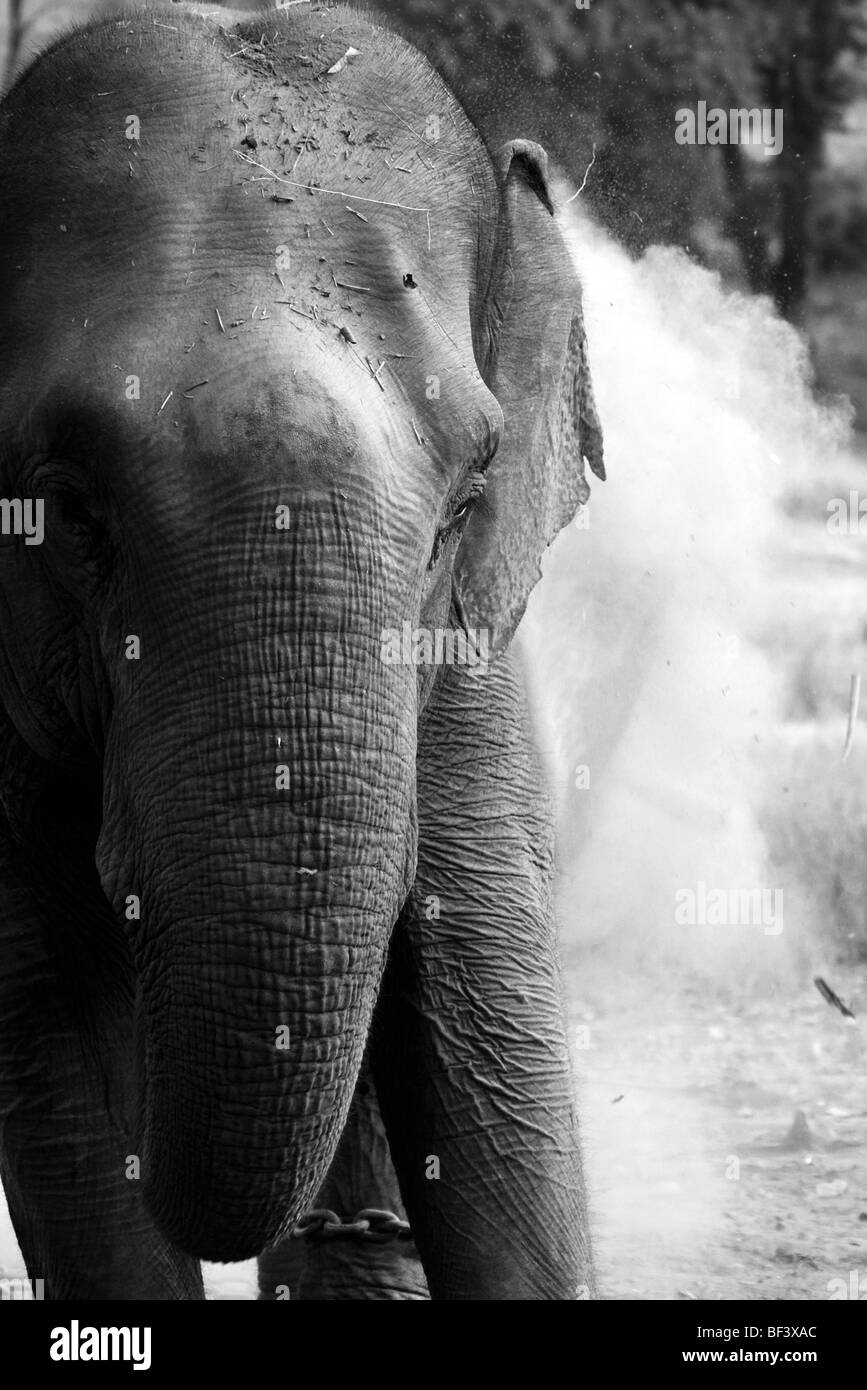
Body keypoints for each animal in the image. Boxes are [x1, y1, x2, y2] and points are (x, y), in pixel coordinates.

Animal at [0, 1, 604, 1299]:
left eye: (467, 499)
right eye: (67, 508)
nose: (361, 1228)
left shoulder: (465, 669)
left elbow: (494, 1039)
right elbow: (55, 1051)